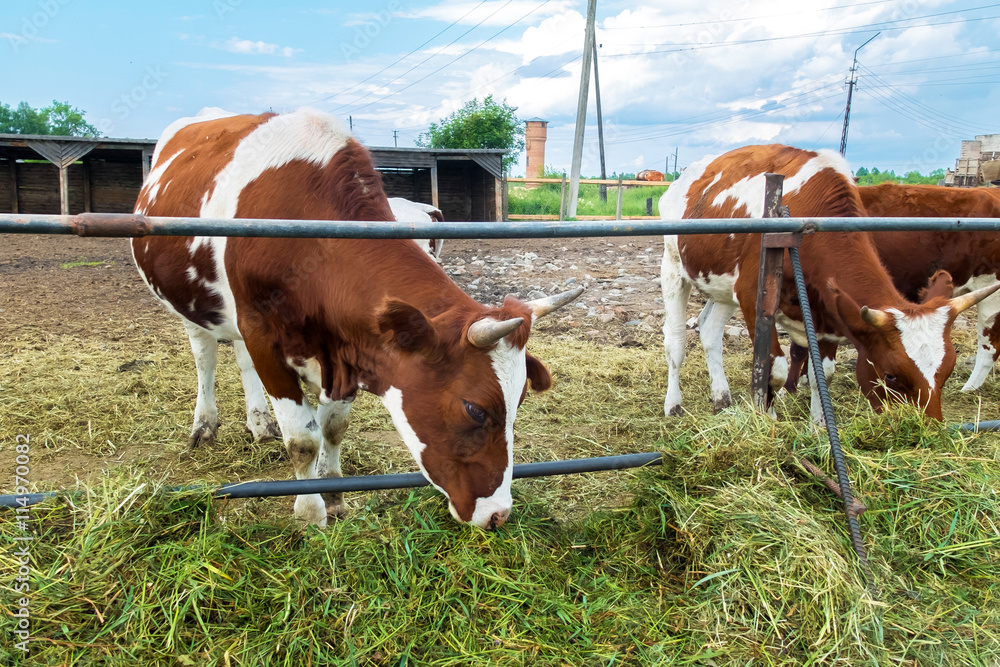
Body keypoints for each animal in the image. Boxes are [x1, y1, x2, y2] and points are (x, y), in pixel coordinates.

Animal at [131, 107, 582, 529]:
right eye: (474, 409)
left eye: (520, 399)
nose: (499, 514)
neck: (313, 248)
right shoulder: (264, 337)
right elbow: (303, 440)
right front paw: (310, 514)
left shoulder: (351, 347)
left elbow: (332, 427)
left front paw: (334, 496)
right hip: (190, 302)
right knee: (205, 356)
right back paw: (204, 425)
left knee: (241, 359)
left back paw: (259, 422)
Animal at [786, 183, 1000, 393]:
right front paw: (802, 379)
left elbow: (799, 348)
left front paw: (789, 388)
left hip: (990, 293)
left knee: (989, 347)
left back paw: (968, 388)